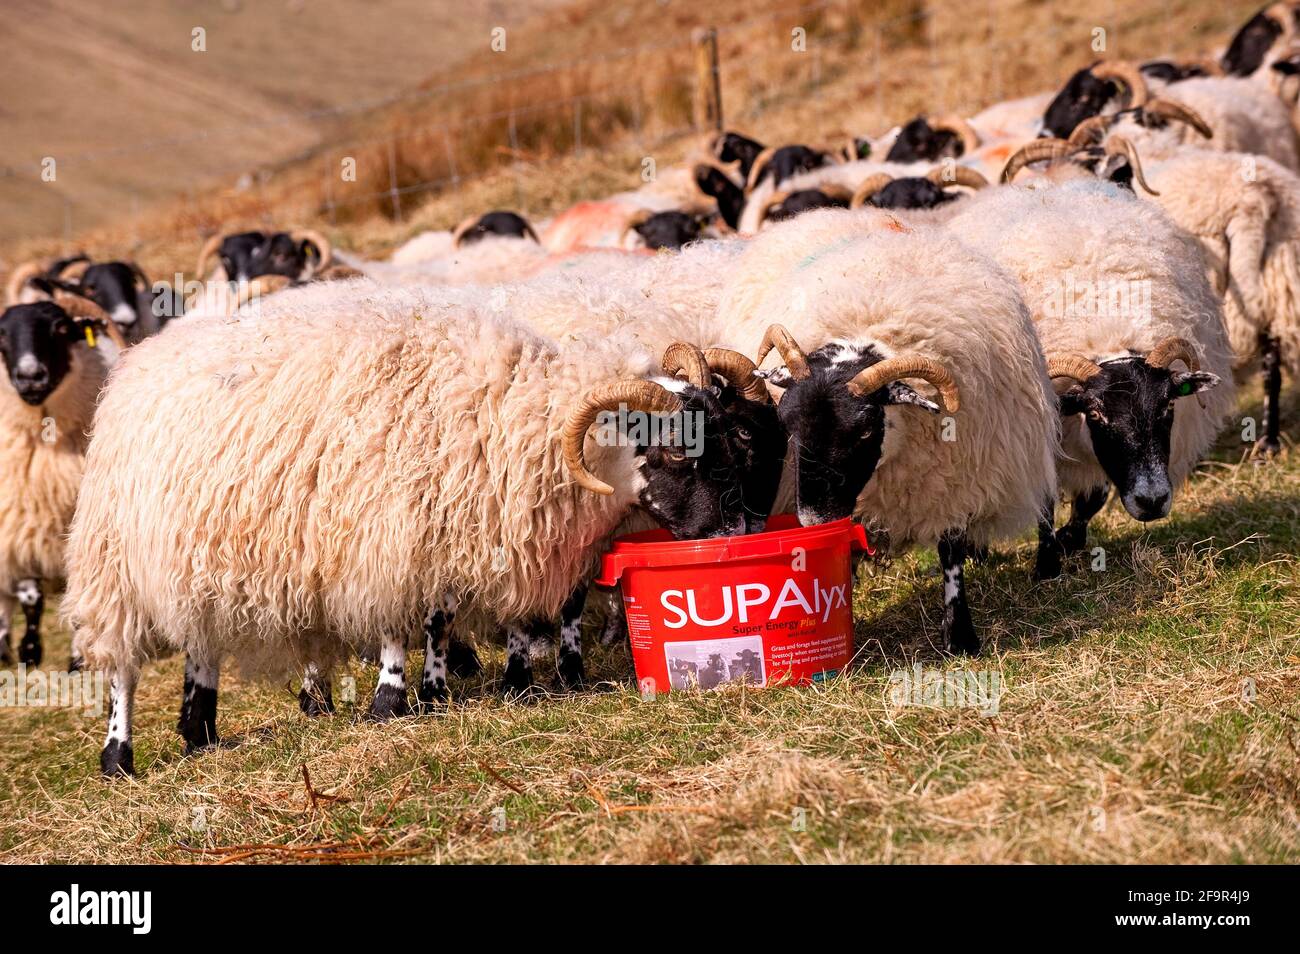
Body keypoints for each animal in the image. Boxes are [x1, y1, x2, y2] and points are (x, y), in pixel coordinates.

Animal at [0, 294, 126, 668]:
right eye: (2, 335)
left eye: (59, 329)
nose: (29, 376)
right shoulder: (20, 521)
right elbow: (30, 596)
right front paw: (29, 653)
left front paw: (76, 660)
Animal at [63, 280, 778, 776]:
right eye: (674, 453)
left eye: (729, 439)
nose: (732, 531)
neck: (509, 414)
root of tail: (144, 356)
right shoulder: (383, 530)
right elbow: (397, 623)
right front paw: (392, 699)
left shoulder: (445, 525)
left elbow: (438, 616)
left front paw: (437, 692)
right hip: (114, 559)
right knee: (121, 665)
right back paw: (119, 755)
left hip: (193, 553)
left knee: (200, 640)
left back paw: (201, 729)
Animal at [714, 212, 1060, 654]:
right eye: (790, 427)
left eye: (864, 433)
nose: (812, 519)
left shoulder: (955, 476)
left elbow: (951, 552)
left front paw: (960, 636)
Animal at [945, 177, 1235, 572]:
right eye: (1096, 414)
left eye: (1168, 408)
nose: (1152, 501)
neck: (1107, 327)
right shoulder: (1044, 435)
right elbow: (1045, 502)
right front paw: (1047, 565)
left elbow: (1093, 498)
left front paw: (1071, 540)